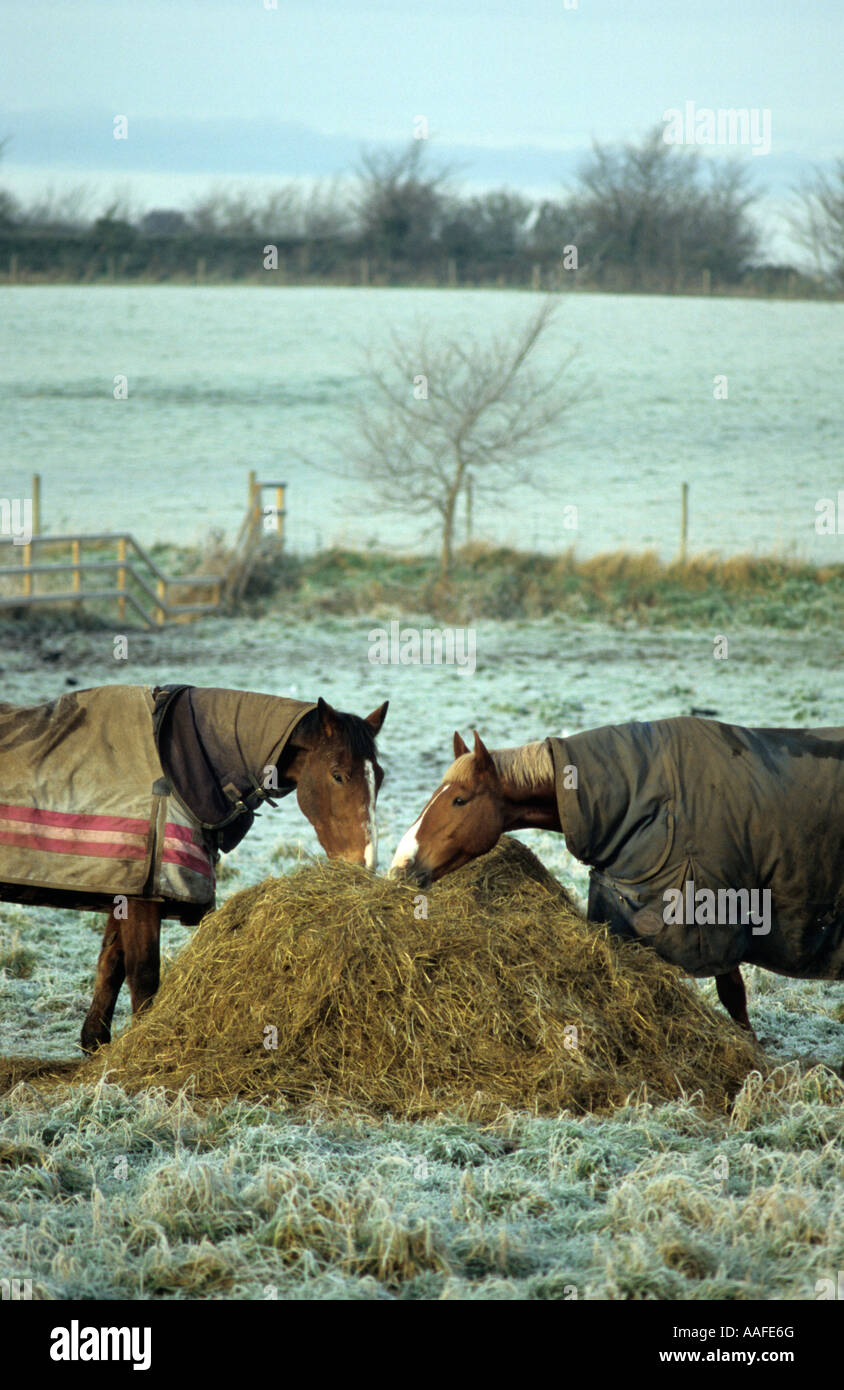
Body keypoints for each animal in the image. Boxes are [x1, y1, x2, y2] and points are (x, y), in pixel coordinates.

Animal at [0, 684, 387, 1051]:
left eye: (379, 777)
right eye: (338, 776)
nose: (364, 862)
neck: (177, 768)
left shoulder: (128, 886)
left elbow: (111, 963)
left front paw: (96, 1043)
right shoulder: (146, 895)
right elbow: (144, 976)